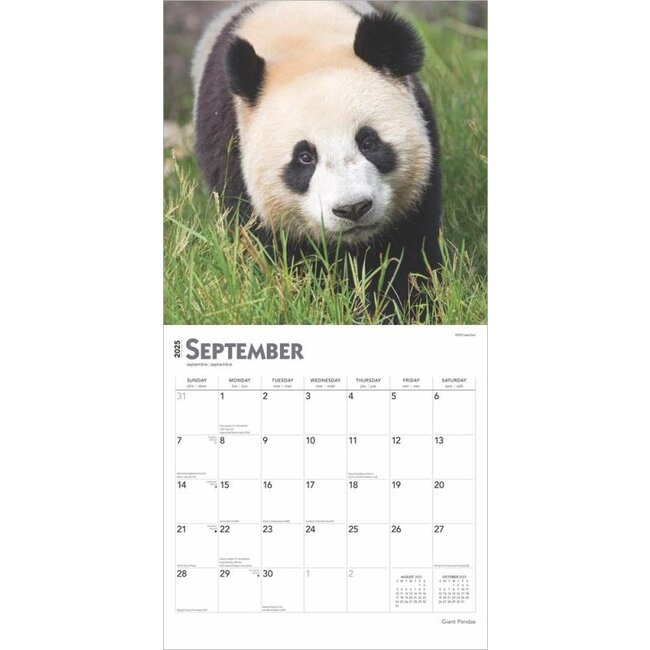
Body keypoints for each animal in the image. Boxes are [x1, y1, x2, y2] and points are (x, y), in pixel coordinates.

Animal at [192, 0, 442, 312]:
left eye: (368, 142)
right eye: (304, 157)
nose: (353, 208)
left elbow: (407, 249)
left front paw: (400, 304)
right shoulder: (231, 154)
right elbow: (274, 249)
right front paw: (319, 300)